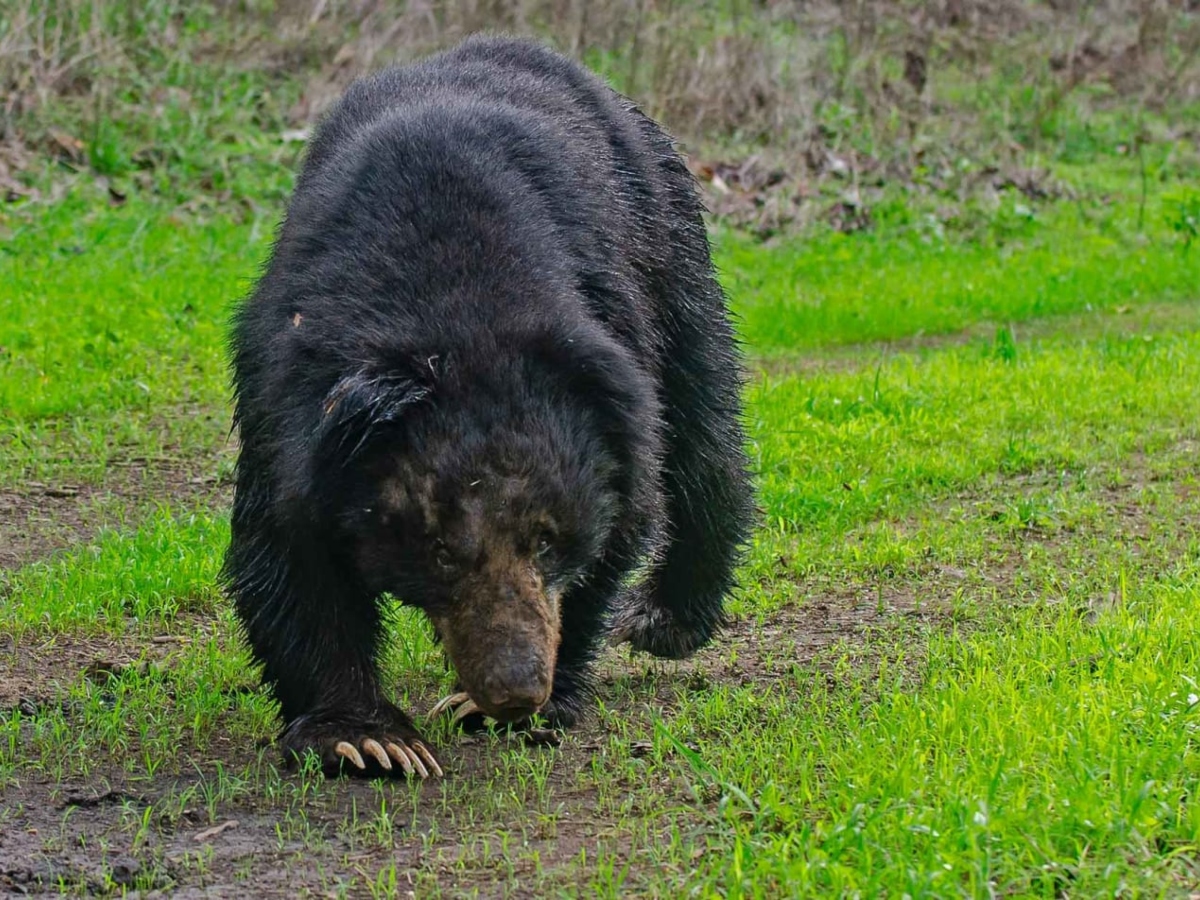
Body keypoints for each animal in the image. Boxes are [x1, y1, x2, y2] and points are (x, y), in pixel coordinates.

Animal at [224, 35, 754, 777]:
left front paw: (508, 706)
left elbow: (621, 523)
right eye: (440, 551)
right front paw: (370, 741)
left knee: (703, 427)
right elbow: (288, 544)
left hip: (671, 242)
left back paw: (663, 620)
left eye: (546, 540)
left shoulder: (613, 355)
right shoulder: (286, 383)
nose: (513, 691)